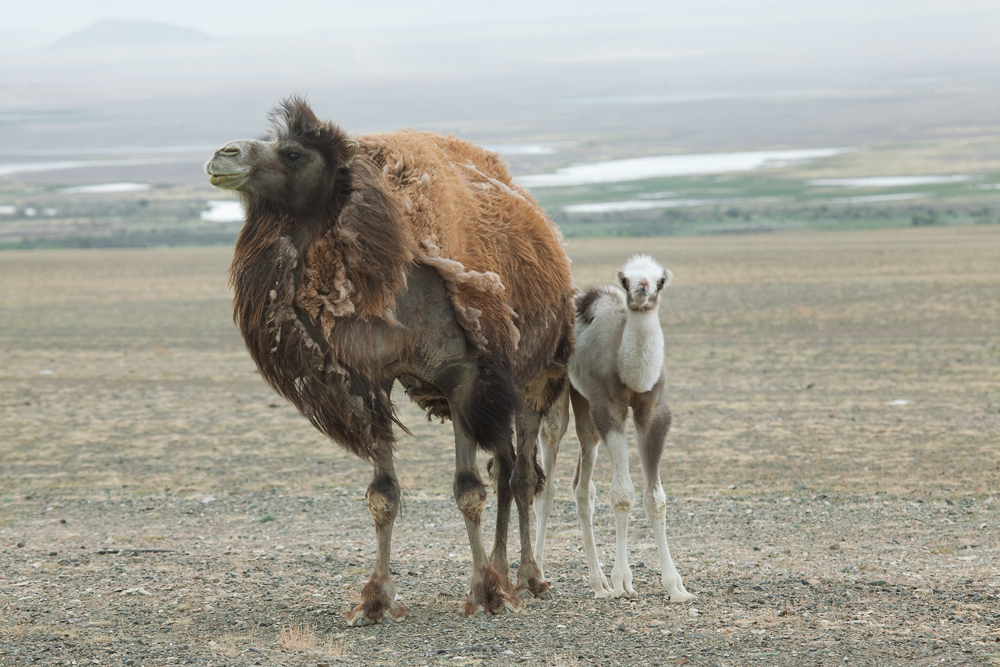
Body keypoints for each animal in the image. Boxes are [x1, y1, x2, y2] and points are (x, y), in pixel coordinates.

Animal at [204, 97, 575, 624]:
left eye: (293, 153)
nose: (223, 155)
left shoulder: (463, 376)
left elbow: (467, 489)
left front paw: (484, 593)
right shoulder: (368, 384)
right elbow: (384, 495)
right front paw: (375, 600)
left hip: (532, 377)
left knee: (522, 475)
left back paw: (529, 578)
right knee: (504, 469)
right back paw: (506, 571)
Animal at [534, 255, 694, 601]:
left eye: (660, 280)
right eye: (625, 280)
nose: (643, 287)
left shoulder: (653, 413)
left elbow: (656, 498)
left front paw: (676, 586)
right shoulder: (608, 409)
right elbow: (622, 494)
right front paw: (623, 581)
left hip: (585, 410)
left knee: (583, 489)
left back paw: (599, 584)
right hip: (558, 396)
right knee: (548, 482)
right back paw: (537, 575)